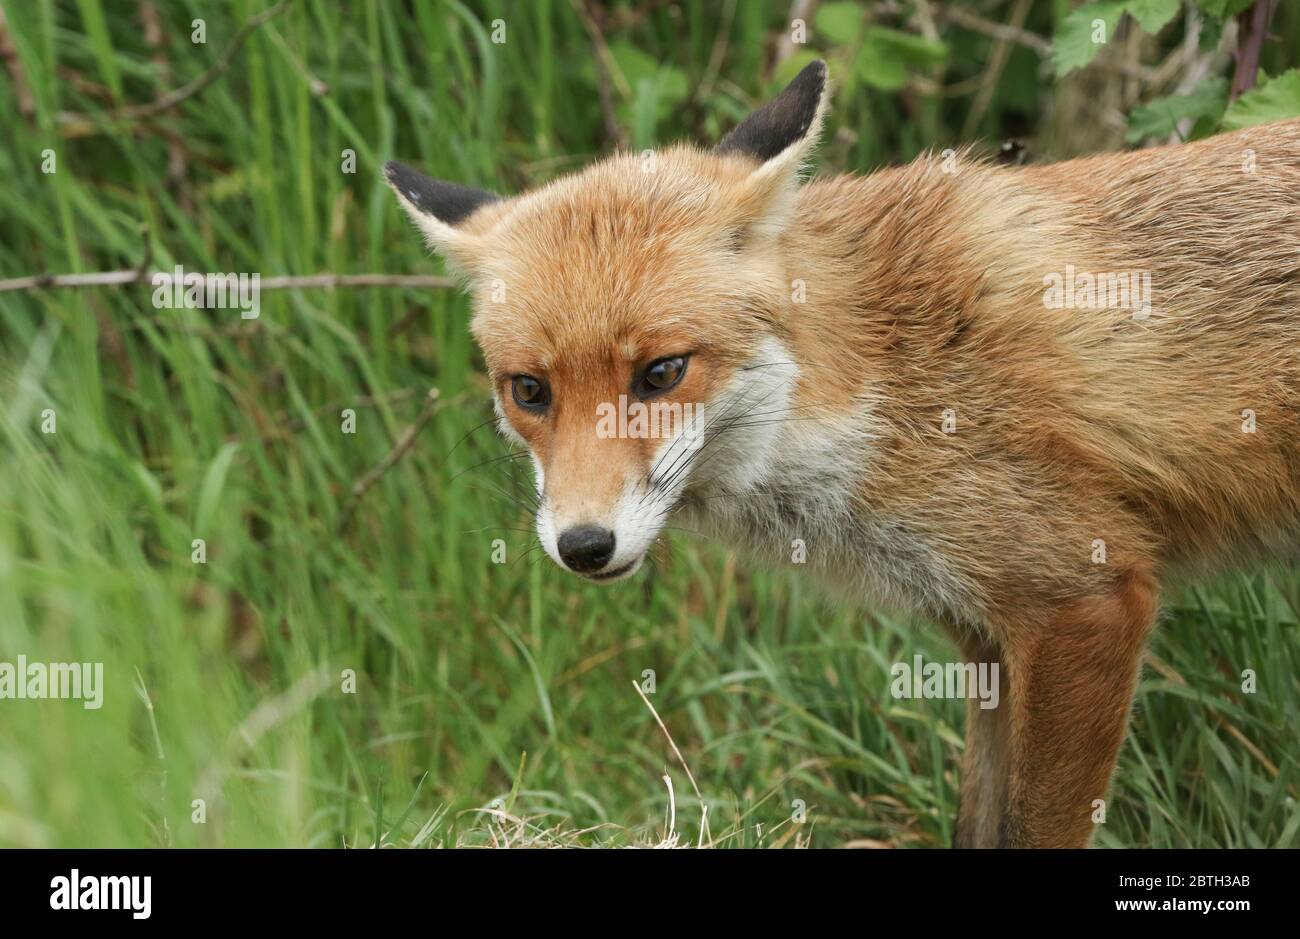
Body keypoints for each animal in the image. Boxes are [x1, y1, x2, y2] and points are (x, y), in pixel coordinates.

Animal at [385, 60, 1300, 848]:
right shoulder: (988, 637)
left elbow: (1030, 829)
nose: (583, 545)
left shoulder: (1084, 598)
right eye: (529, 390)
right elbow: (978, 826)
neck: (886, 376)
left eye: (662, 371)